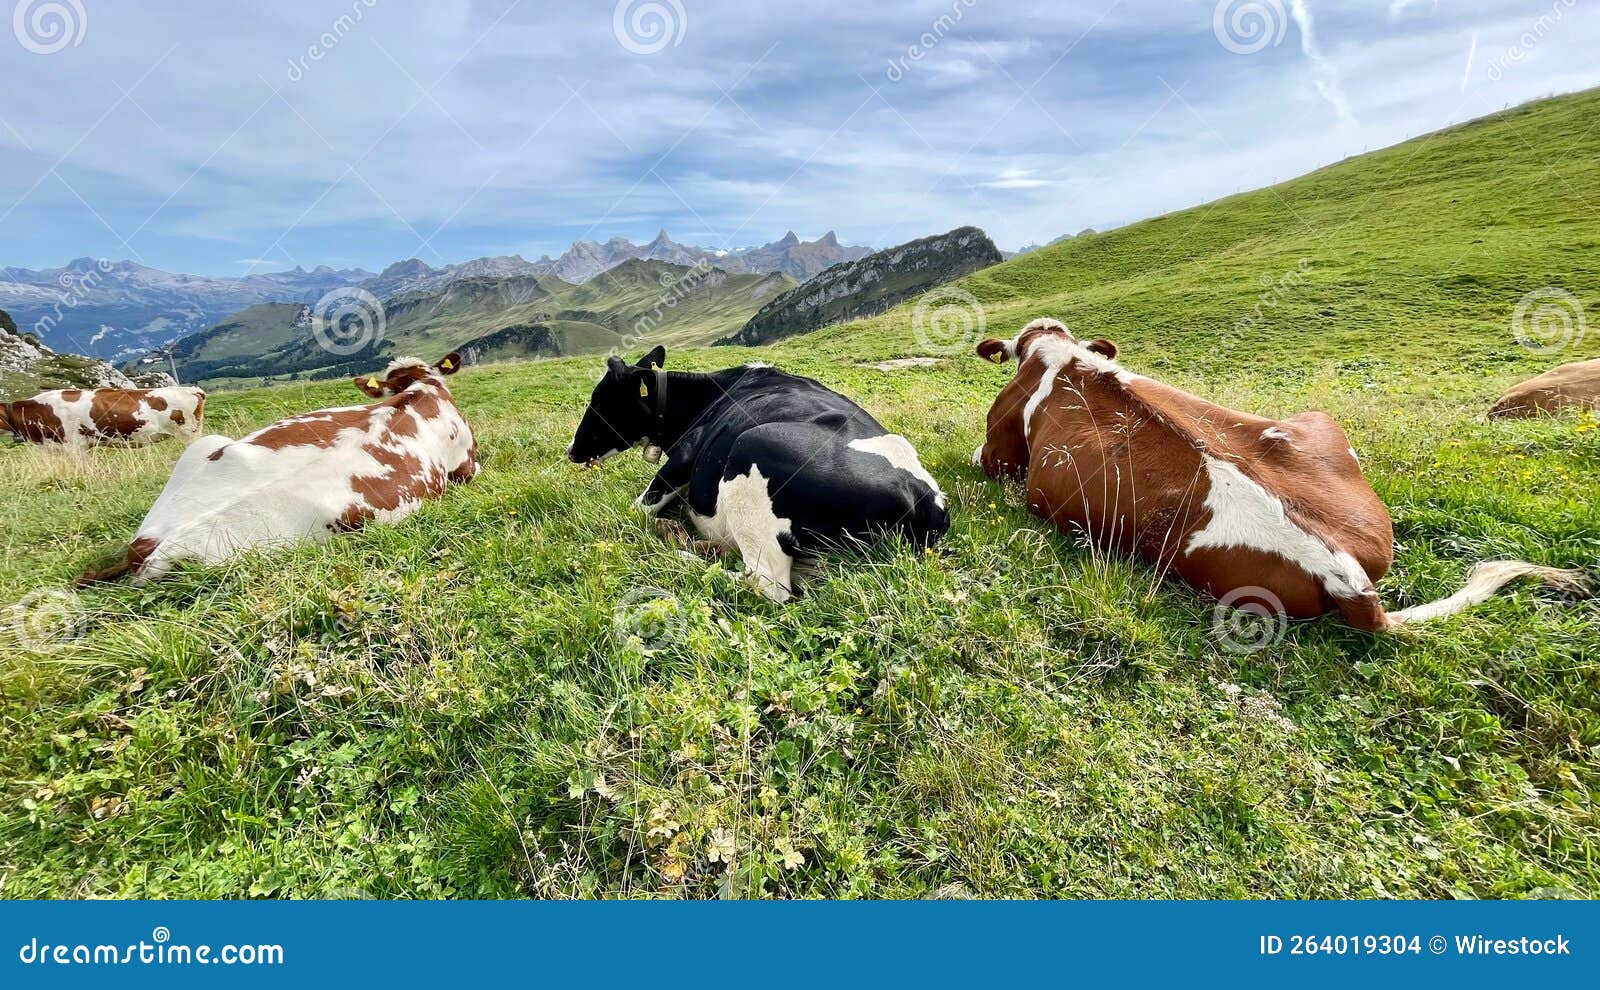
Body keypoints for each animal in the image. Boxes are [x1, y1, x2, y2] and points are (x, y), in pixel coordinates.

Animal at [567, 346, 949, 602]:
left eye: (598, 402)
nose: (570, 449)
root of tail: (918, 495)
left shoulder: (684, 456)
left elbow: (638, 507)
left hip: (750, 451)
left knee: (766, 584)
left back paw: (683, 552)